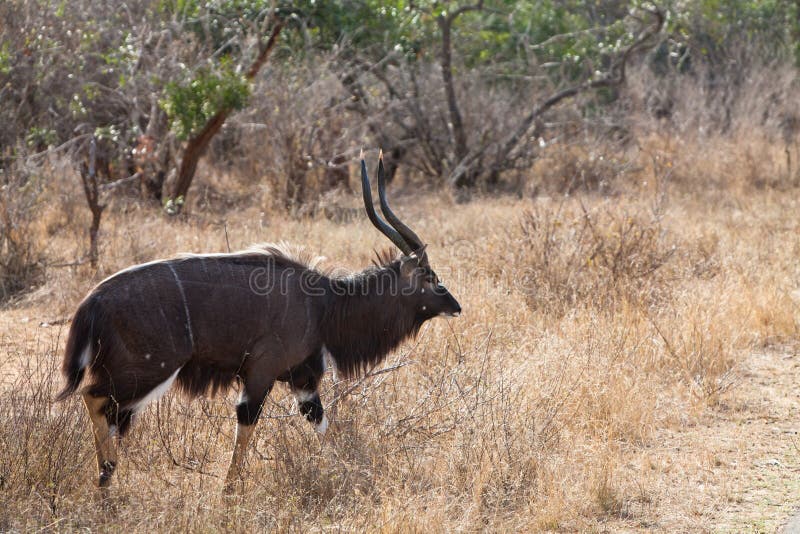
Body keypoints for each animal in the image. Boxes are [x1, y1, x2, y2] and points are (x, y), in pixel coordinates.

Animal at [55, 152, 461, 491]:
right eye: (428, 276)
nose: (455, 305)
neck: (324, 304)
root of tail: (91, 303)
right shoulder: (261, 373)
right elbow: (247, 424)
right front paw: (228, 493)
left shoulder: (303, 380)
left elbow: (321, 424)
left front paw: (345, 471)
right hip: (148, 371)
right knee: (94, 398)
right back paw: (107, 476)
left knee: (107, 410)